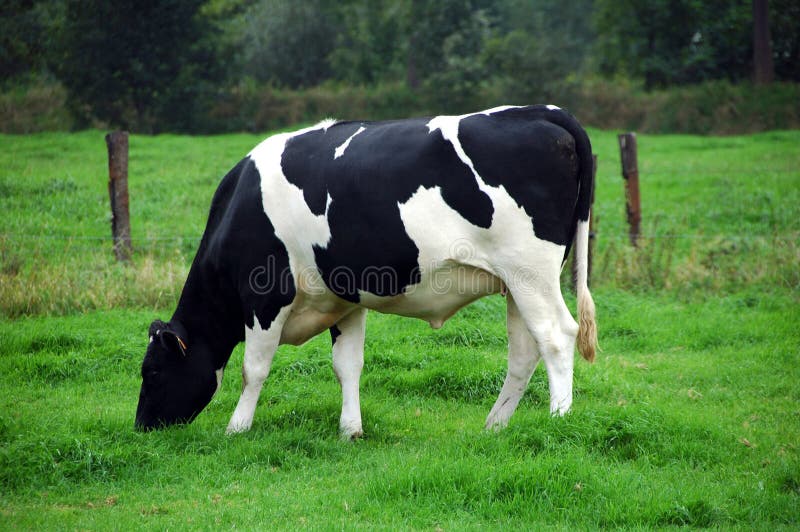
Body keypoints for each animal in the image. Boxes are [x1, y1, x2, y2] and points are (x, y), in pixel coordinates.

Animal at [135, 104, 597, 438]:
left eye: (151, 371)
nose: (142, 428)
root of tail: (540, 110)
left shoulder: (265, 296)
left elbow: (254, 368)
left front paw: (237, 428)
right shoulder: (345, 298)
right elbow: (348, 365)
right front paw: (350, 430)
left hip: (530, 271)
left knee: (556, 337)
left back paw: (558, 419)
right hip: (516, 283)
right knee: (524, 350)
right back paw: (495, 426)